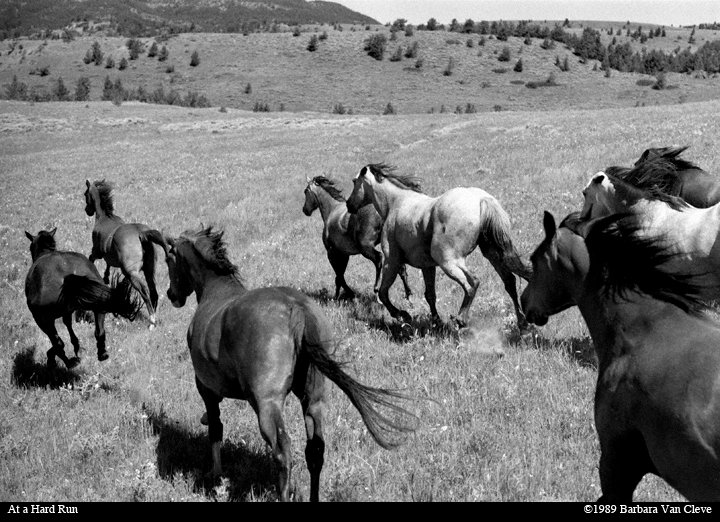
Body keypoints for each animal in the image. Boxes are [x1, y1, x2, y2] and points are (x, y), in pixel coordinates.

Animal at [25, 228, 141, 368]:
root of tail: (67, 276)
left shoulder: (45, 319)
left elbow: (60, 339)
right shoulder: (67, 311)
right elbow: (68, 325)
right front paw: (76, 345)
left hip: (44, 320)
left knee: (58, 344)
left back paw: (68, 362)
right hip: (99, 303)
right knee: (99, 331)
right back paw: (102, 353)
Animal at [84, 179, 168, 328]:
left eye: (85, 194)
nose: (87, 210)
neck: (104, 217)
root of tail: (141, 233)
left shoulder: (97, 251)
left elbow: (92, 258)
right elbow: (108, 264)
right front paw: (106, 277)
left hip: (132, 273)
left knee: (144, 291)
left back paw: (152, 321)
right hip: (149, 270)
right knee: (153, 291)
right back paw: (154, 318)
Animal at [163, 226, 418, 502]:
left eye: (168, 260)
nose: (171, 295)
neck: (216, 289)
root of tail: (297, 309)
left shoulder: (206, 388)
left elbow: (215, 428)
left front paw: (216, 473)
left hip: (267, 404)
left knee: (283, 451)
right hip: (313, 399)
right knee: (315, 450)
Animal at [345, 163, 532, 329]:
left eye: (354, 181)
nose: (349, 204)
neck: (396, 202)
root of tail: (481, 199)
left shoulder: (391, 261)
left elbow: (383, 292)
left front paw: (403, 315)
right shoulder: (427, 266)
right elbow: (430, 295)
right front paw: (436, 321)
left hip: (448, 260)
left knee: (472, 283)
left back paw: (461, 319)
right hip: (492, 254)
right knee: (510, 282)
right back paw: (522, 324)